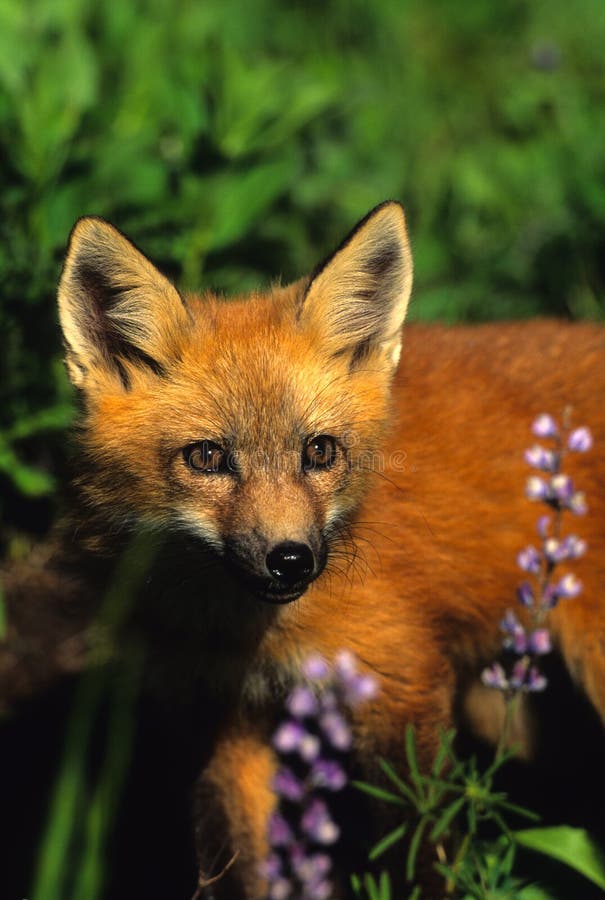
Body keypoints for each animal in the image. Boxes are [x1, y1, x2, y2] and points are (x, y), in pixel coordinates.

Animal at [1, 201, 605, 897]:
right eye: (207, 457)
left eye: (319, 451)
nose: (291, 559)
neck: (245, 634)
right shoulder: (221, 717)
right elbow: (237, 865)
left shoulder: (398, 686)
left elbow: (423, 856)